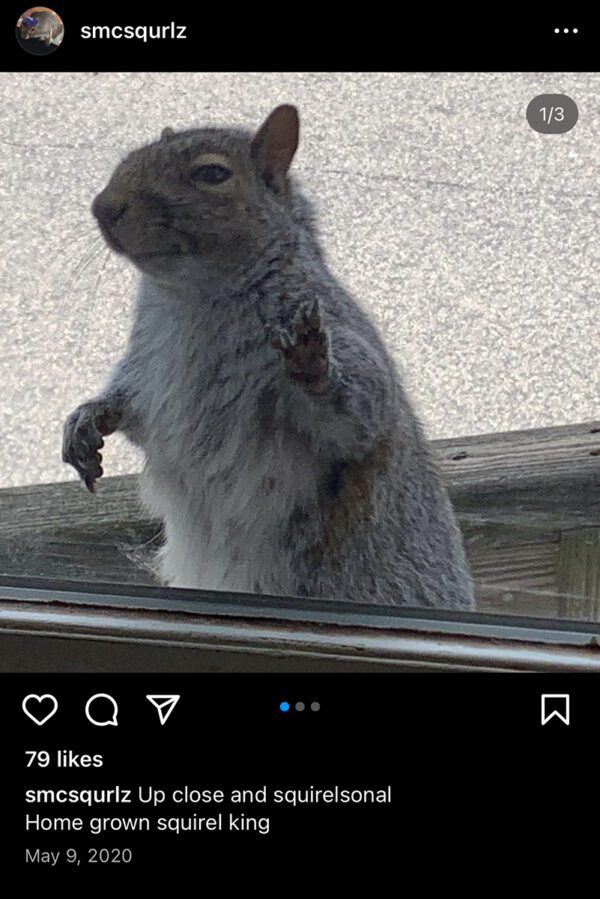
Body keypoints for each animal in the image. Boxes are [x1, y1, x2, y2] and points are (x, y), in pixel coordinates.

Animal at [62, 104, 474, 609]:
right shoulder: (149, 372)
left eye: (212, 173)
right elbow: (131, 410)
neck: (194, 296)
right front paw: (87, 421)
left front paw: (313, 363)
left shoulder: (334, 324)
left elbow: (360, 420)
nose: (103, 207)